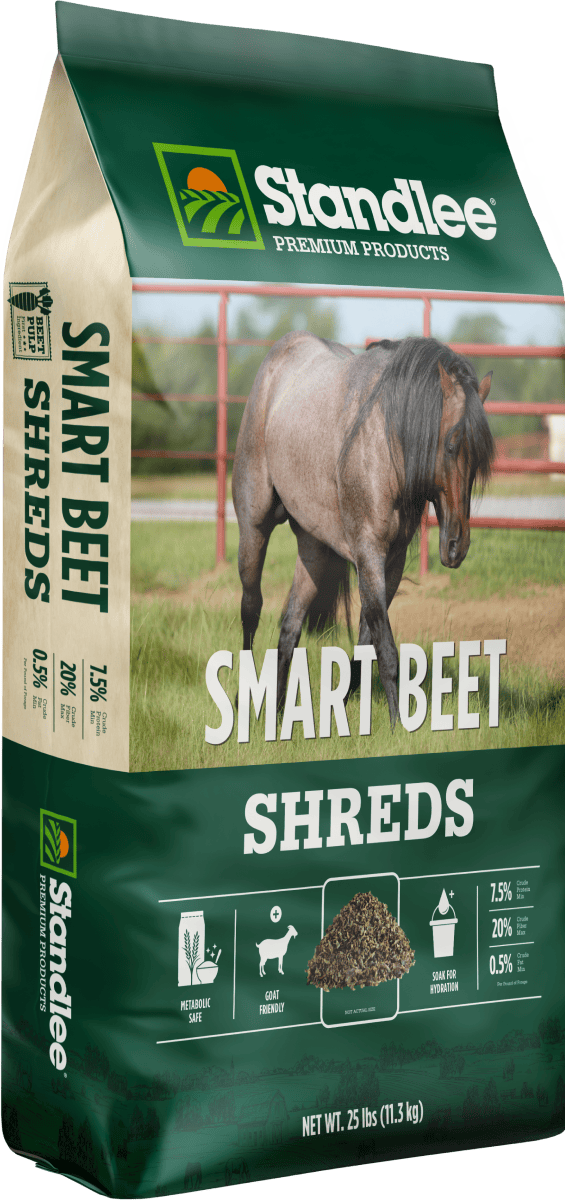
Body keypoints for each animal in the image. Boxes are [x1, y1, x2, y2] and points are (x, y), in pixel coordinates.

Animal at [232, 333, 494, 728]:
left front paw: (345, 707)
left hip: (313, 550)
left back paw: (279, 713)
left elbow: (367, 638)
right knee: (251, 608)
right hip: (253, 528)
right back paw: (245, 700)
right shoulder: (369, 552)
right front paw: (399, 725)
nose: (456, 547)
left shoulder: (392, 562)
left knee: (290, 625)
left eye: (479, 457)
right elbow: (385, 646)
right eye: (451, 444)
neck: (384, 442)